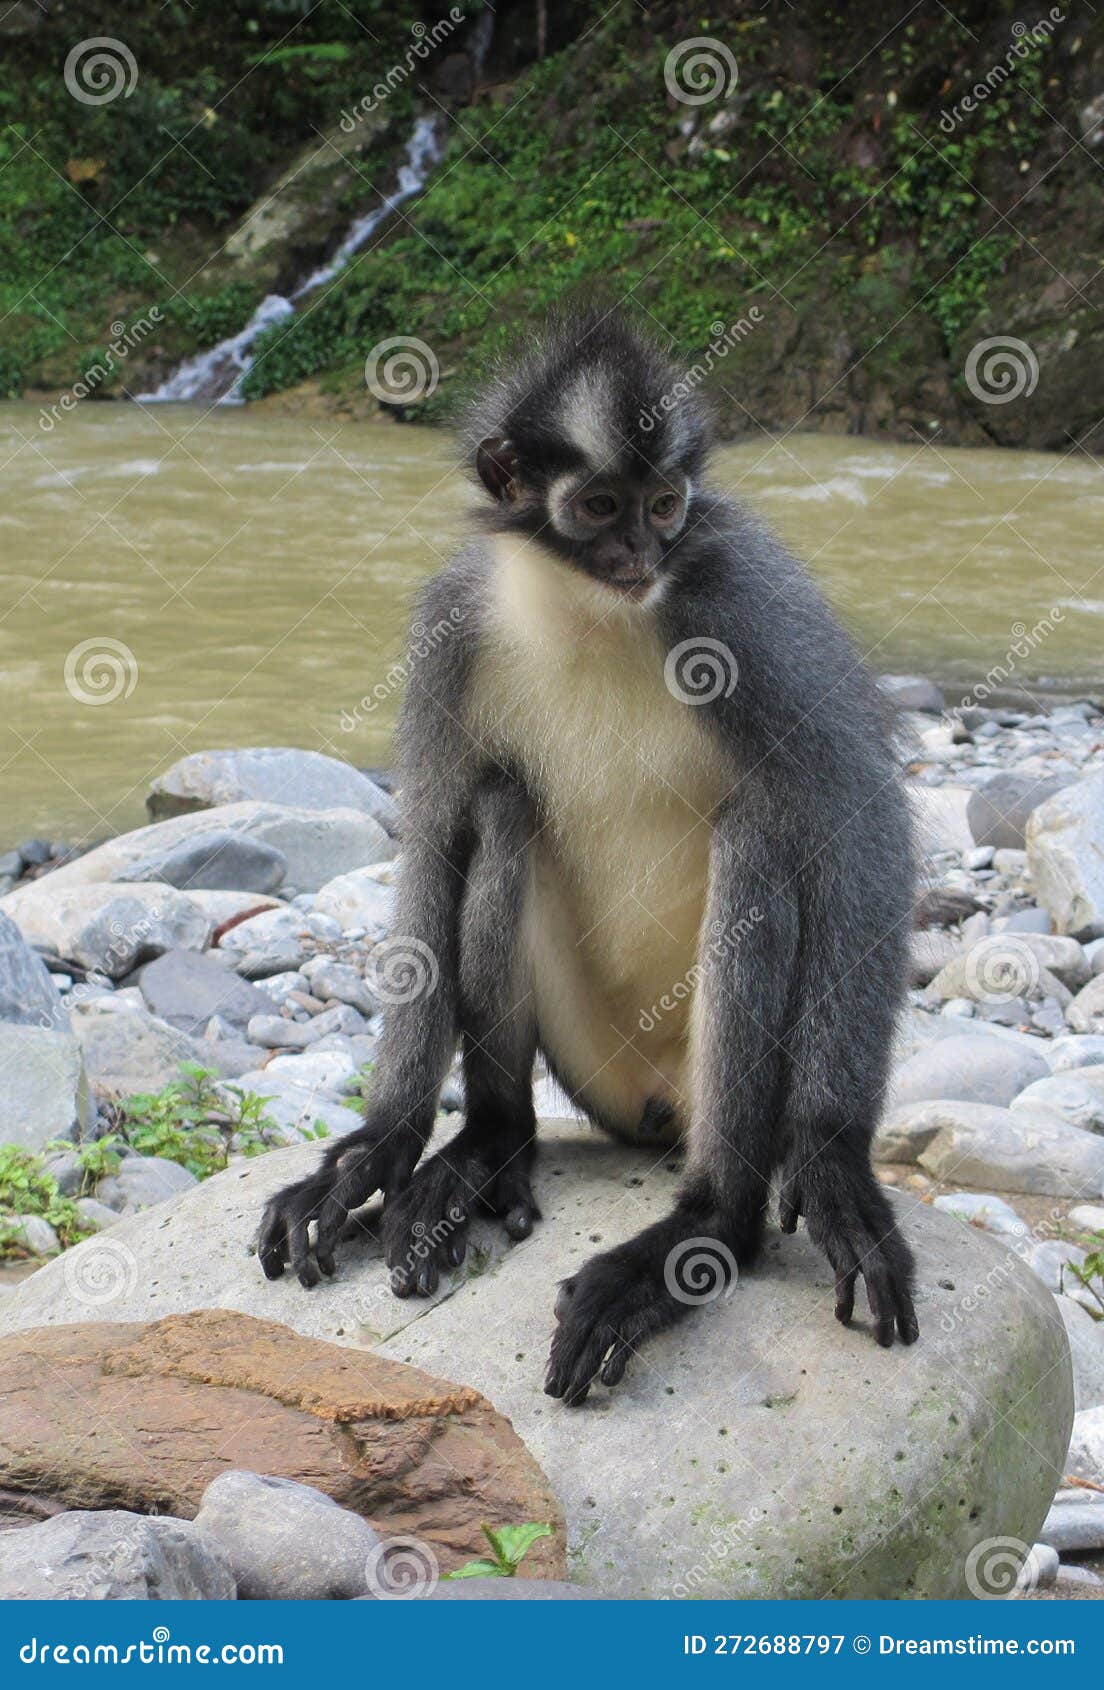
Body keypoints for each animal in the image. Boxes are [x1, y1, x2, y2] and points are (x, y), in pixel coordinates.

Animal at [257, 308, 919, 1405]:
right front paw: (379, 1143)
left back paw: (700, 1230)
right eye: (599, 505)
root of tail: (656, 1111)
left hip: (703, 1082)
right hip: (592, 1065)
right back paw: (488, 1145)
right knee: (500, 801)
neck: (588, 610)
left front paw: (832, 1159)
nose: (643, 549)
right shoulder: (451, 627)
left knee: (760, 827)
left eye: (665, 505)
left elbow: (856, 821)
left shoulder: (738, 591)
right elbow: (434, 836)